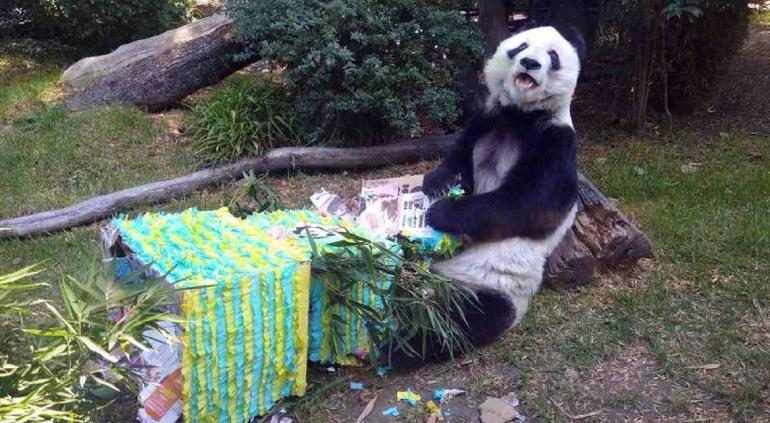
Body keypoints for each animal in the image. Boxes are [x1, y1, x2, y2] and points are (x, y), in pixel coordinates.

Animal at [391, 25, 586, 367]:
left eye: (553, 57)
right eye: (521, 46)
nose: (530, 63)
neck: (522, 115)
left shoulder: (557, 142)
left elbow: (530, 204)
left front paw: (441, 212)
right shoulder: (487, 119)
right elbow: (459, 155)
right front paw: (437, 183)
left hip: (493, 283)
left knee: (461, 318)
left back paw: (398, 342)